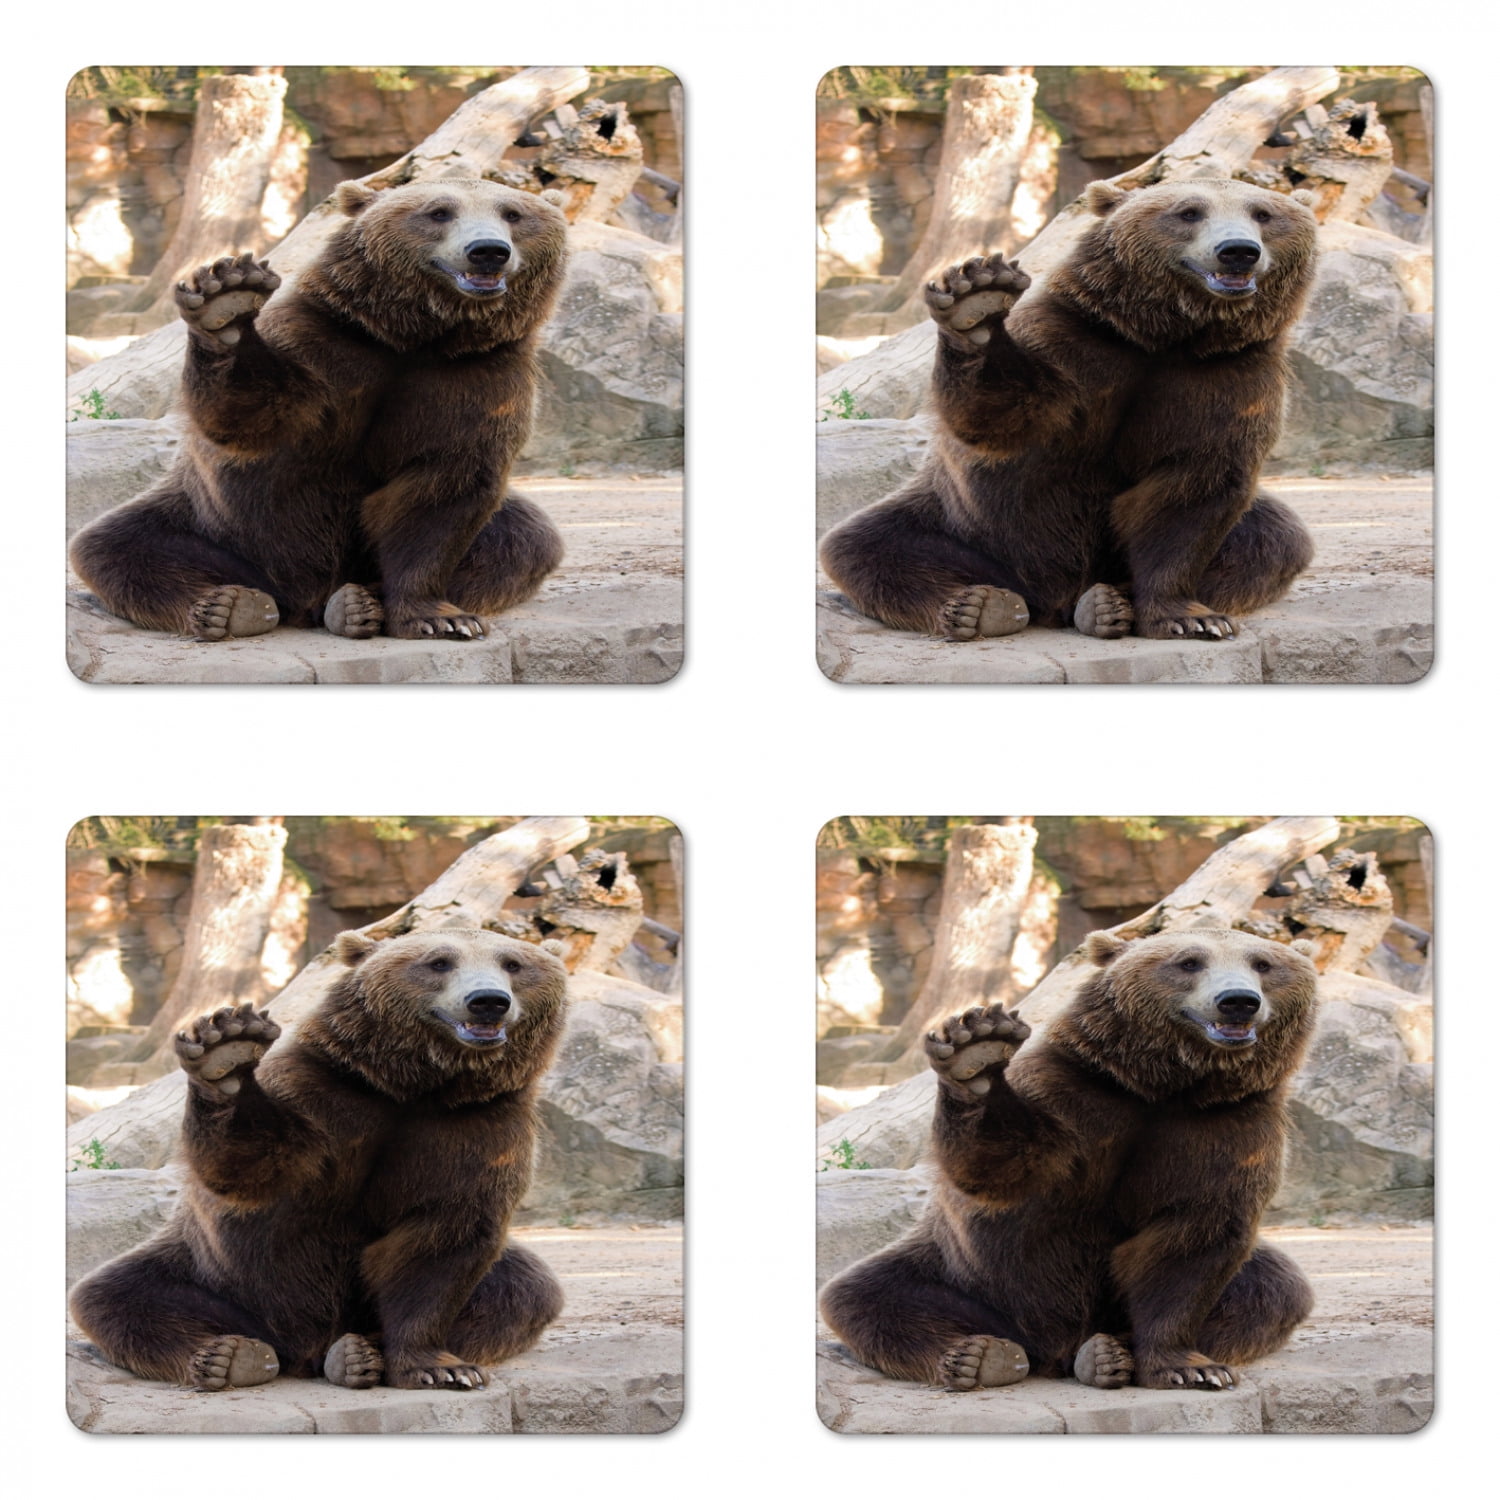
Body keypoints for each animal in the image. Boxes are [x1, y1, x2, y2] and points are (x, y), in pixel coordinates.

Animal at [69, 178, 570, 643]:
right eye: (439, 211)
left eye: (513, 213)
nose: (488, 251)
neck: (419, 336)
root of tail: (302, 598)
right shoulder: (326, 345)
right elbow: (251, 418)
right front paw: (227, 302)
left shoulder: (479, 376)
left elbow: (444, 491)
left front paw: (440, 618)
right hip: (214, 525)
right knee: (115, 546)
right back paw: (228, 608)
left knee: (525, 539)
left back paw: (356, 603)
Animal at [69, 928, 570, 1392]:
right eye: (439, 961)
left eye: (513, 963)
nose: (488, 1001)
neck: (419, 1087)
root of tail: (302, 1349)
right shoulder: (325, 1095)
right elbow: (251, 1168)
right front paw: (226, 1052)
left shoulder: (480, 1127)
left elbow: (444, 1242)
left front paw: (440, 1368)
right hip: (216, 1275)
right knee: (116, 1295)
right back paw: (227, 1358)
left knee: (526, 1290)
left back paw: (356, 1354)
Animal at [819, 928, 1319, 1394]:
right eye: (1189, 961)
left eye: (1263, 963)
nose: (1238, 1001)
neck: (1169, 1087)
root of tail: (1052, 1349)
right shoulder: (1076, 1094)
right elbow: (1002, 1168)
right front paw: (977, 1052)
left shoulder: (1229, 1126)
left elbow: (1195, 1241)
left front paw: (1190, 1368)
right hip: (965, 1275)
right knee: (866, 1296)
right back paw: (978, 1358)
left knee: (1276, 1289)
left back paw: (1106, 1354)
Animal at [820, 178, 1320, 644]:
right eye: (1189, 212)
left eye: (1263, 213)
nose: (1238, 251)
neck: (1170, 336)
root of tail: (1052, 598)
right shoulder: (1076, 344)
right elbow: (1002, 418)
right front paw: (976, 302)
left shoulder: (1229, 376)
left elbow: (1194, 491)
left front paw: (1191, 618)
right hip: (964, 524)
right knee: (865, 545)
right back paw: (978, 608)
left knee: (1276, 540)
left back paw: (1106, 604)